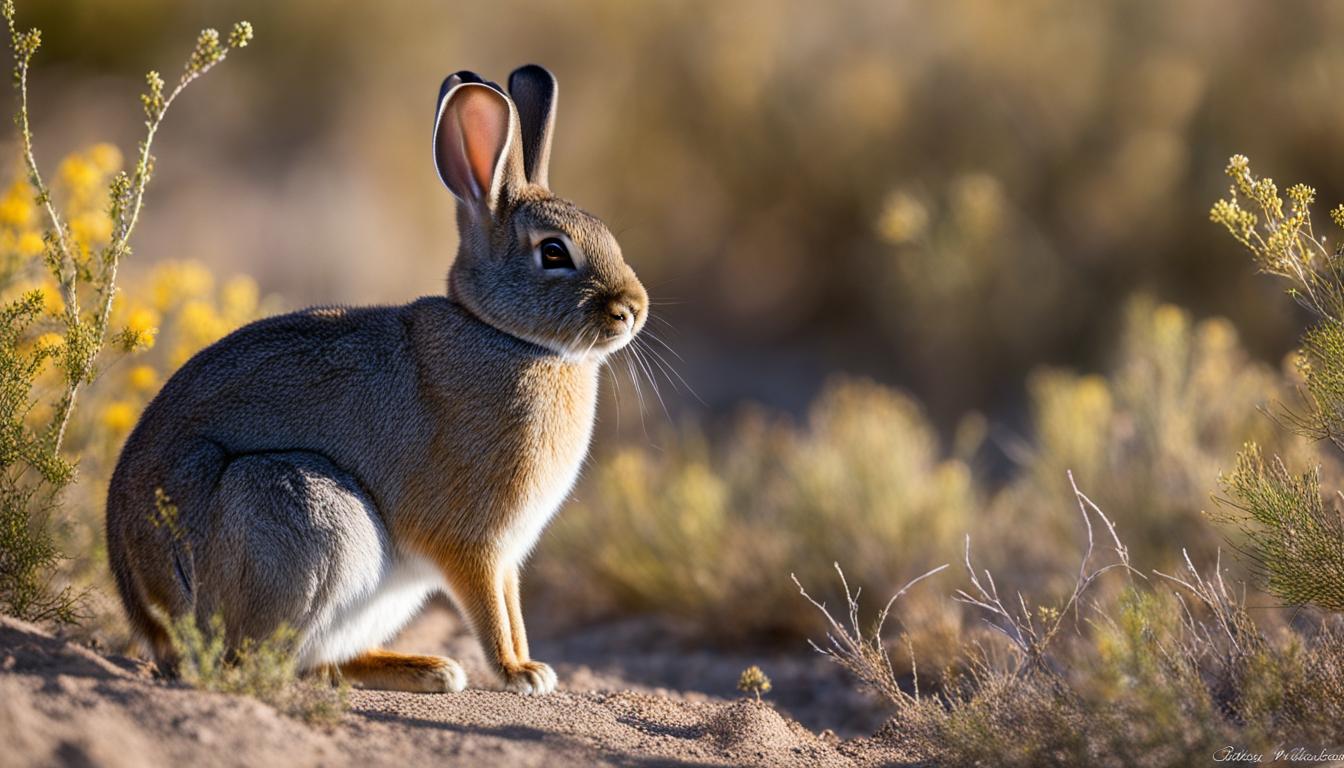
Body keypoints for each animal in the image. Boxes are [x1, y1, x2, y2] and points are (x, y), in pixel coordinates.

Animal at [104, 64, 647, 695]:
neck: (504, 334)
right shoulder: (473, 543)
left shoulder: (509, 556)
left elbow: (512, 610)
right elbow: (489, 611)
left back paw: (427, 669)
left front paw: (530, 666)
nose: (634, 310)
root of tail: (151, 614)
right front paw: (520, 674)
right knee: (258, 661)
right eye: (554, 253)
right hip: (302, 511)